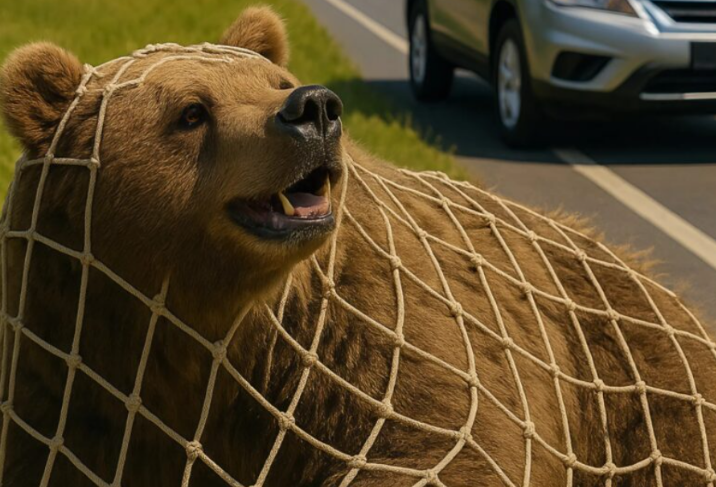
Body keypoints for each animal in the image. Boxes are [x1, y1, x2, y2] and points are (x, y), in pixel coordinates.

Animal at [0, 6, 715, 487]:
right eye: (192, 111)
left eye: (275, 78)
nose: (313, 107)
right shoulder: (68, 364)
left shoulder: (375, 334)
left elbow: (444, 438)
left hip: (644, 396)